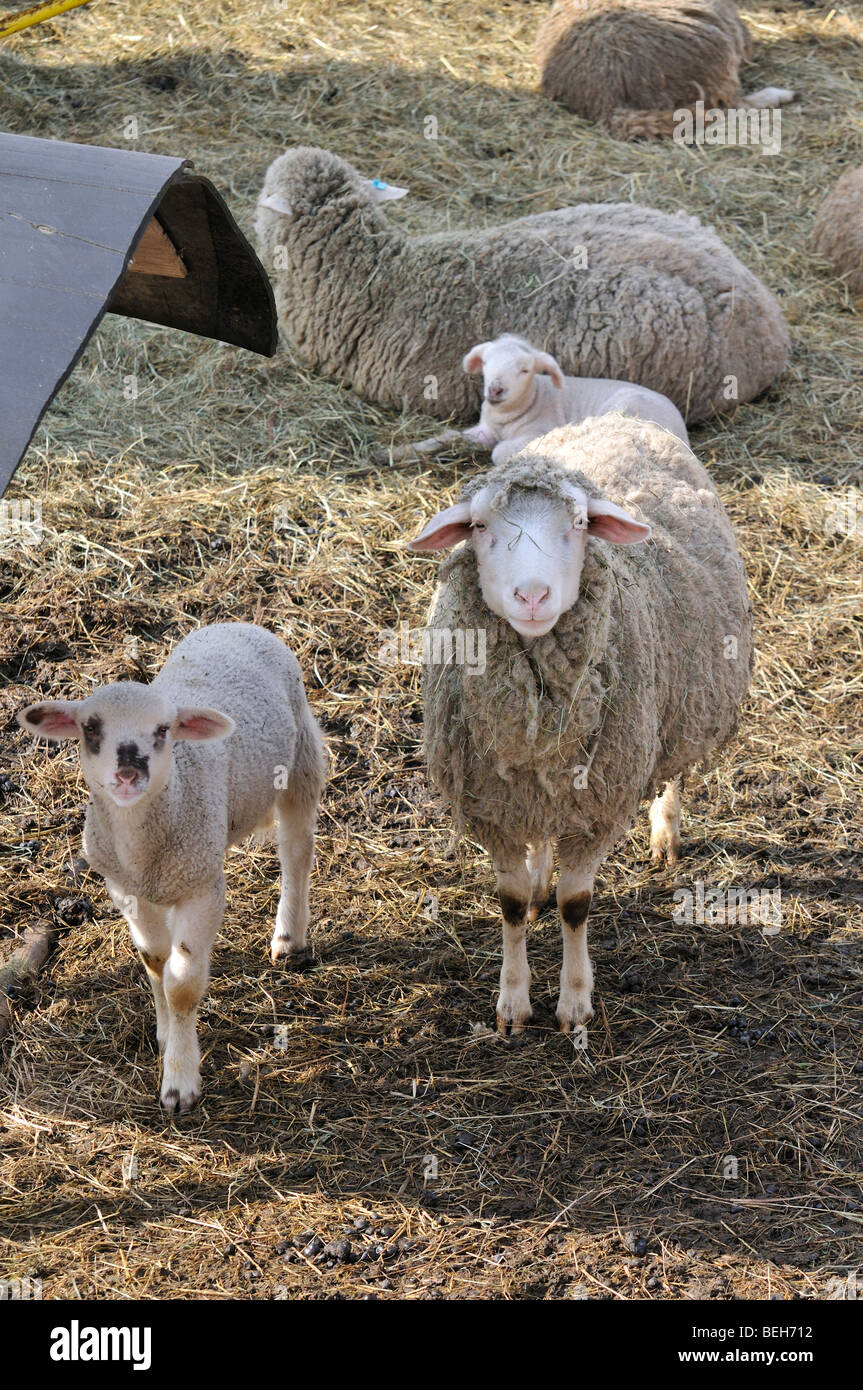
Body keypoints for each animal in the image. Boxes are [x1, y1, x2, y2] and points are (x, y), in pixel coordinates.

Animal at [16, 623, 325, 1113]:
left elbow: (182, 984)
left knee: (296, 850)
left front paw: (180, 1081)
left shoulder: (201, 886)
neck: (146, 844)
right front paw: (164, 1036)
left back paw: (289, 937)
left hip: (300, 757)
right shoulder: (126, 889)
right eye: (89, 728)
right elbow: (155, 961)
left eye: (163, 730)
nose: (128, 774)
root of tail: (236, 623)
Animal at [383, 334, 689, 464]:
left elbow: (498, 452)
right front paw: (395, 452)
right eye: (486, 363)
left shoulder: (537, 430)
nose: (495, 390)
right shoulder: (483, 430)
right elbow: (445, 436)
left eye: (524, 370)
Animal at [408, 417, 752, 1035]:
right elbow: (511, 902)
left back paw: (665, 831)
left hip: (685, 695)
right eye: (478, 526)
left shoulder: (601, 804)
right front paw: (513, 1004)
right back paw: (541, 870)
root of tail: (619, 416)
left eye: (580, 524)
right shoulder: (496, 806)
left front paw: (573, 1005)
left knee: (672, 770)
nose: (532, 595)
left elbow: (576, 906)